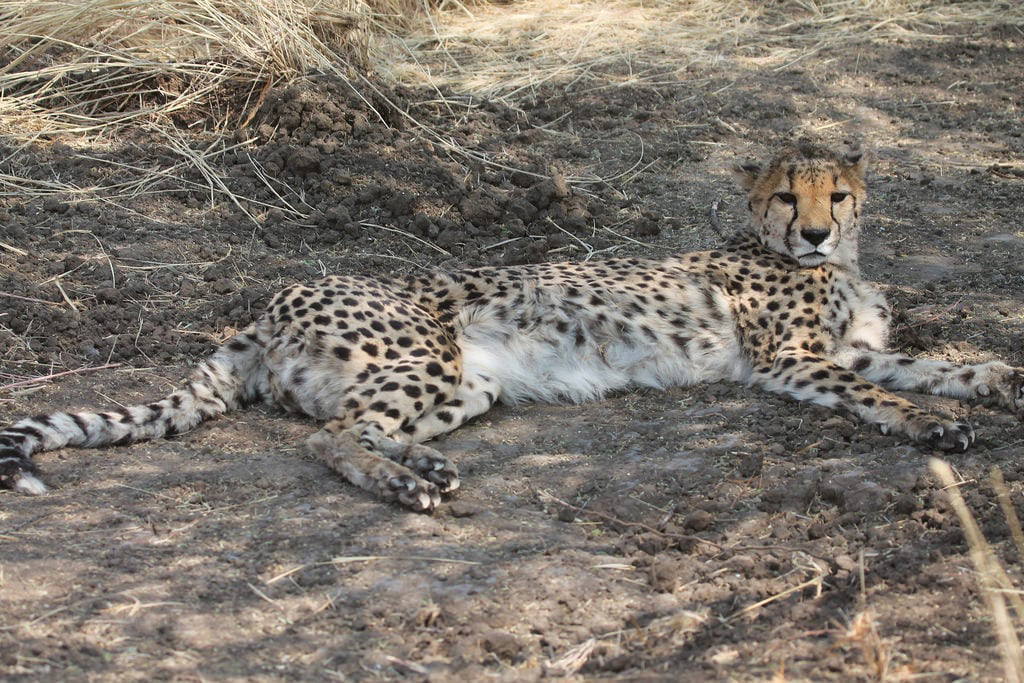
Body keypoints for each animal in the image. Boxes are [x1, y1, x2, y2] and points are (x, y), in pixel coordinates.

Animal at [2, 142, 1022, 512]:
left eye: (836, 195)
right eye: (786, 196)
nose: (812, 230)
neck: (833, 266)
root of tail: (267, 305)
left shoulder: (858, 347)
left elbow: (938, 363)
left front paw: (991, 380)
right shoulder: (794, 362)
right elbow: (882, 393)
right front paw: (937, 425)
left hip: (467, 381)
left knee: (361, 426)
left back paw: (427, 466)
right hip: (425, 355)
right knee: (329, 437)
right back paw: (404, 485)